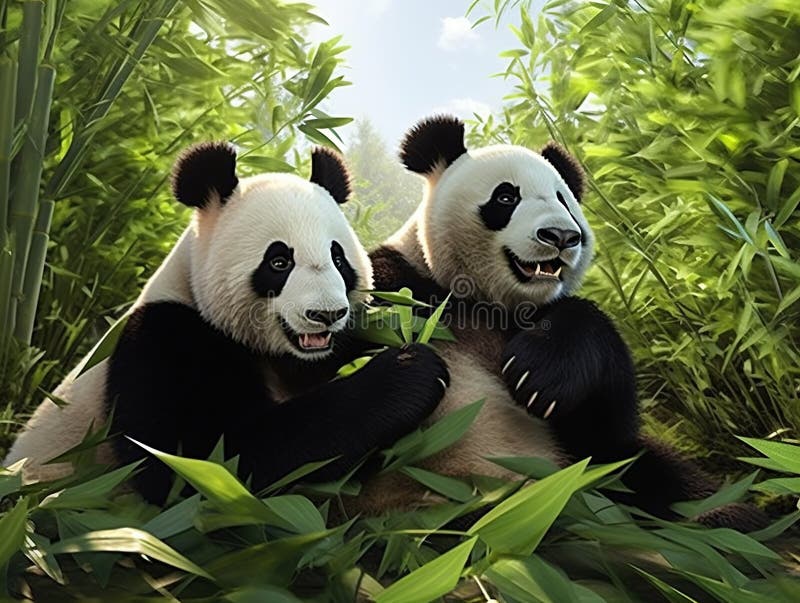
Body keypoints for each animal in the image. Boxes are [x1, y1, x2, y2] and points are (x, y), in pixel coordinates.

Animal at [3, 142, 450, 504]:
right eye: (279, 261)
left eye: (338, 258)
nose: (326, 314)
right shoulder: (163, 341)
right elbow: (205, 465)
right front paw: (410, 371)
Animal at [354, 116, 765, 530]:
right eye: (506, 197)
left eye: (562, 199)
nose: (563, 236)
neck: (484, 302)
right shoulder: (398, 287)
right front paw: (410, 374)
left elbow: (603, 432)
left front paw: (536, 377)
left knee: (659, 477)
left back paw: (730, 519)